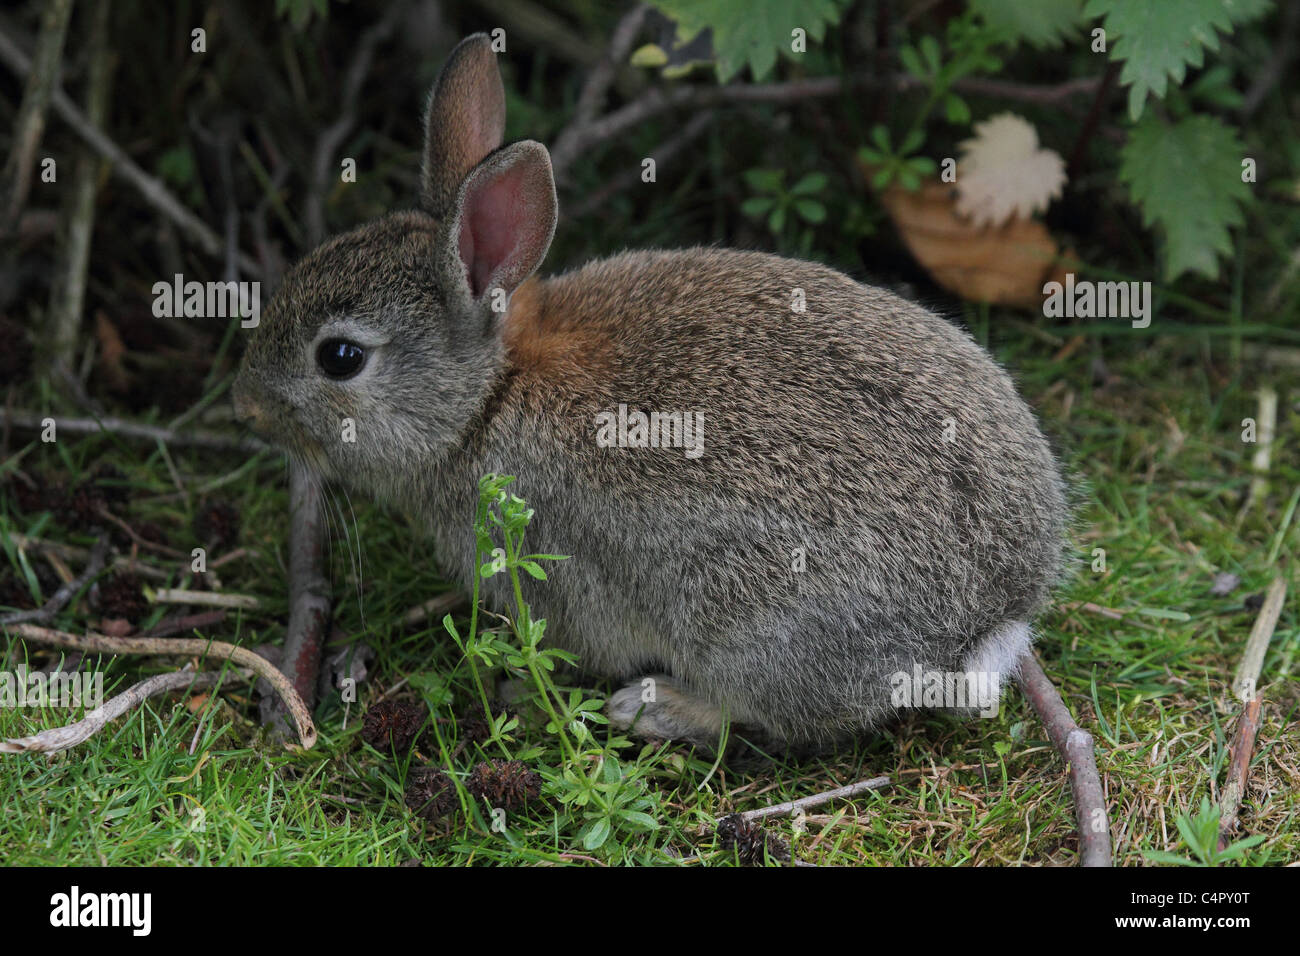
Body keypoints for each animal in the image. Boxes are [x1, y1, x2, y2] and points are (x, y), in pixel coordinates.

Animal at [233, 33, 1069, 751]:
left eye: (340, 358)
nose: (249, 408)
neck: (488, 395)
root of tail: (988, 618)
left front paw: (519, 689)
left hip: (744, 624)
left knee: (771, 713)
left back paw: (654, 707)